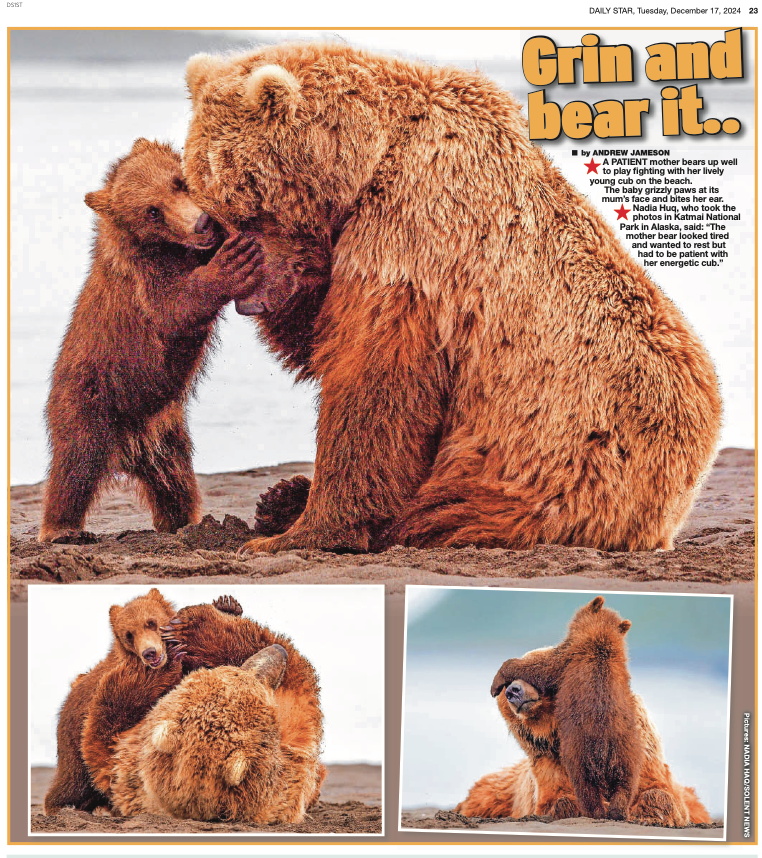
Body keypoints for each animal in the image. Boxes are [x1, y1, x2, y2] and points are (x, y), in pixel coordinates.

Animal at [38, 138, 266, 543]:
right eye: (152, 212)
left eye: (178, 182)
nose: (201, 223)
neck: (173, 248)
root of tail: (126, 449)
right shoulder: (144, 281)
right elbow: (174, 308)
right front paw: (234, 264)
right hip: (89, 398)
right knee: (75, 465)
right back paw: (61, 529)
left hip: (164, 431)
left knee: (175, 479)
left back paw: (184, 520)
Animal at [43, 588, 177, 815]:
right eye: (129, 634)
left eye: (150, 622)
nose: (149, 653)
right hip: (75, 744)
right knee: (75, 782)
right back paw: (63, 807)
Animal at [180, 42, 721, 555]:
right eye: (214, 203)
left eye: (244, 204)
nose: (248, 300)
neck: (369, 159)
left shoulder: (416, 237)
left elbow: (375, 378)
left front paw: (304, 533)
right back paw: (281, 497)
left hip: (549, 470)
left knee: (453, 508)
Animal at [458, 679, 711, 827]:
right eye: (506, 684)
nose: (513, 690)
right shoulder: (551, 763)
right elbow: (558, 799)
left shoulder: (640, 752)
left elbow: (657, 790)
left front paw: (649, 814)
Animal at [490, 596, 644, 820]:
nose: (510, 691)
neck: (600, 643)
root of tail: (607, 748)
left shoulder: (566, 660)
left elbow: (539, 668)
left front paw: (497, 681)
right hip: (629, 752)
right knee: (625, 784)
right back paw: (618, 811)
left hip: (579, 750)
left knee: (585, 785)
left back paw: (594, 811)